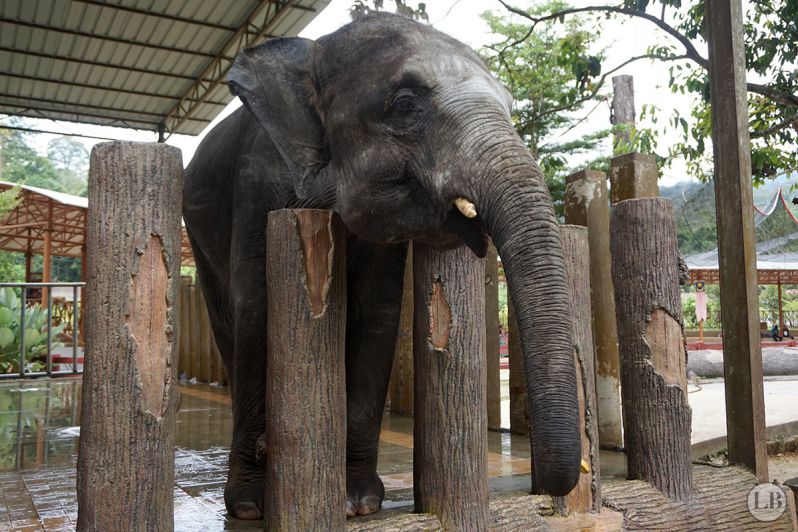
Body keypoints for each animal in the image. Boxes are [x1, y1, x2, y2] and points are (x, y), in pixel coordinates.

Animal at [183, 11, 580, 520]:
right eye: (405, 103)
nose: (545, 495)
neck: (315, 49)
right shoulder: (257, 185)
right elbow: (256, 312)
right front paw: (251, 506)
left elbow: (377, 316)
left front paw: (359, 503)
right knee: (229, 325)